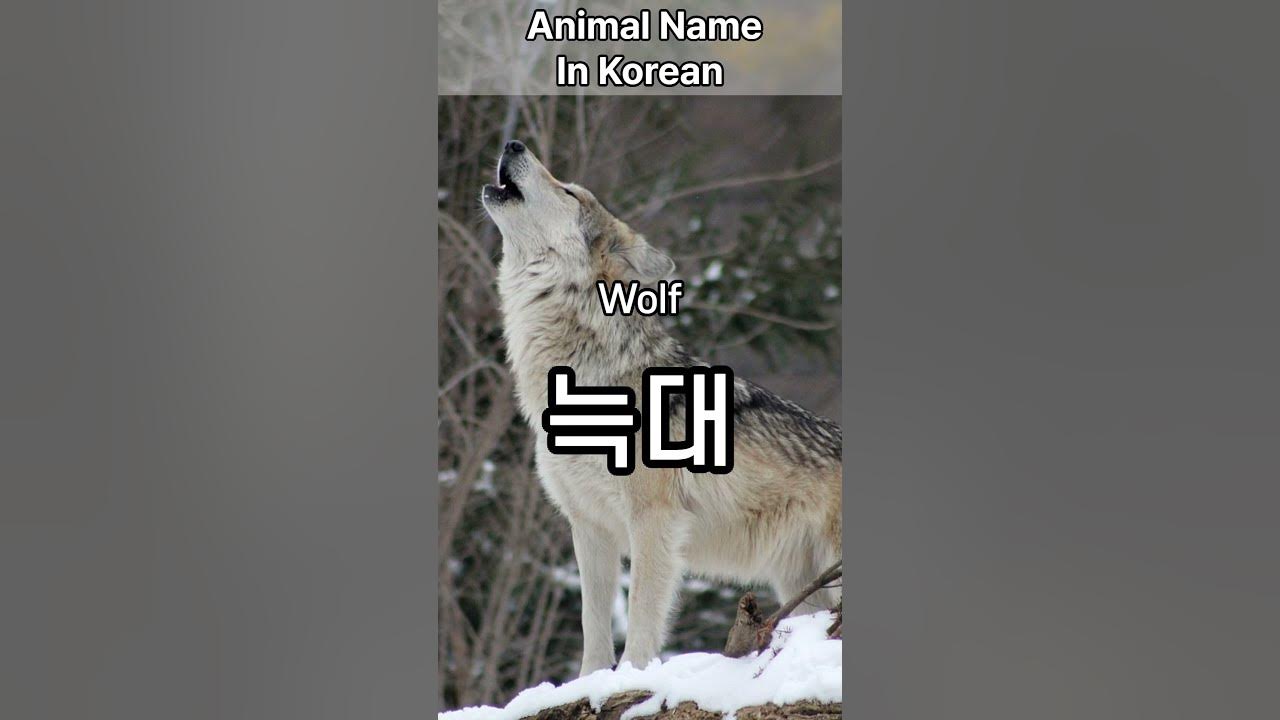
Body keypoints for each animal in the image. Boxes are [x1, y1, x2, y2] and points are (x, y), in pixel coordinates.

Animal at [482, 140, 842, 675]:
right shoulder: (588, 526)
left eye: (568, 191)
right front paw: (589, 684)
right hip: (801, 586)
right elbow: (593, 624)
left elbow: (641, 616)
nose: (513, 144)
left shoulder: (654, 521)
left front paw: (632, 677)